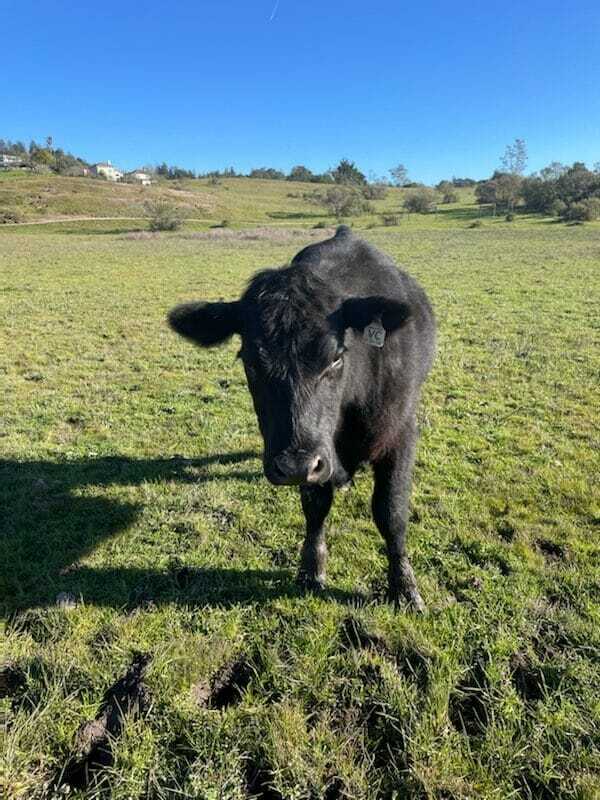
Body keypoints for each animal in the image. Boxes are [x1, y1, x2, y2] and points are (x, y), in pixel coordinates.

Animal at [168, 226, 436, 610]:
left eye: (337, 357)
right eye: (250, 360)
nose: (295, 464)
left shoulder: (399, 435)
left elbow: (391, 512)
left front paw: (403, 588)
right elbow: (315, 505)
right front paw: (311, 570)